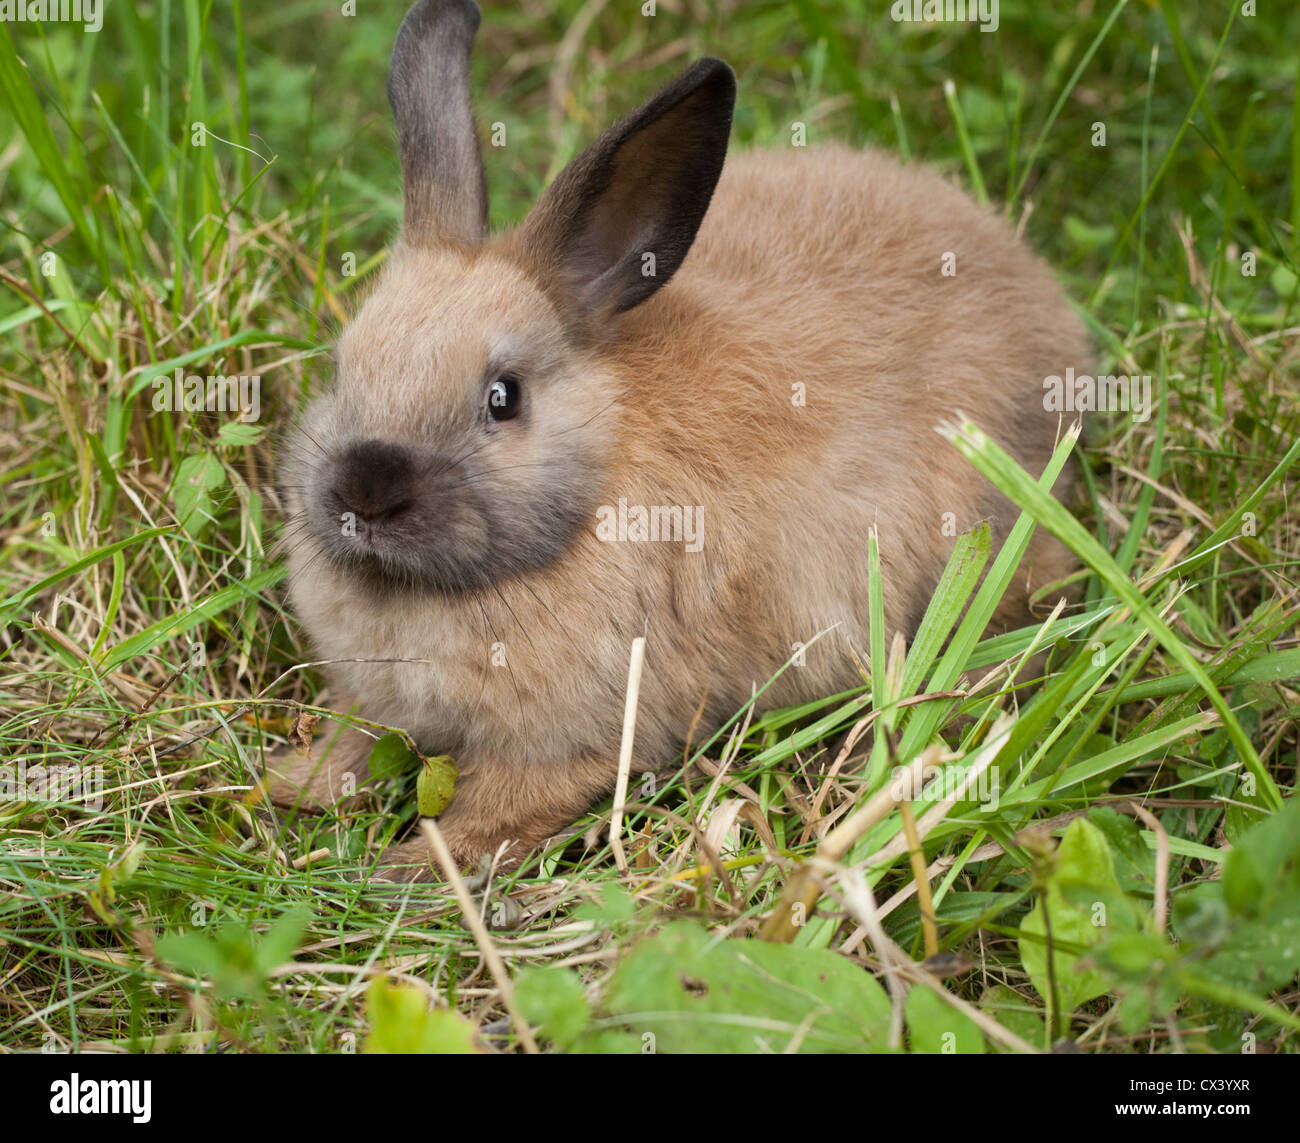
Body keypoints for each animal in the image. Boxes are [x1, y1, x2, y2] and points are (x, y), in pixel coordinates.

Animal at [267, 0, 1089, 880]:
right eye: (341, 365)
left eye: (503, 398)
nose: (366, 491)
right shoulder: (372, 704)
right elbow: (351, 748)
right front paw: (285, 787)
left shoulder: (567, 743)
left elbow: (502, 809)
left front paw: (418, 867)